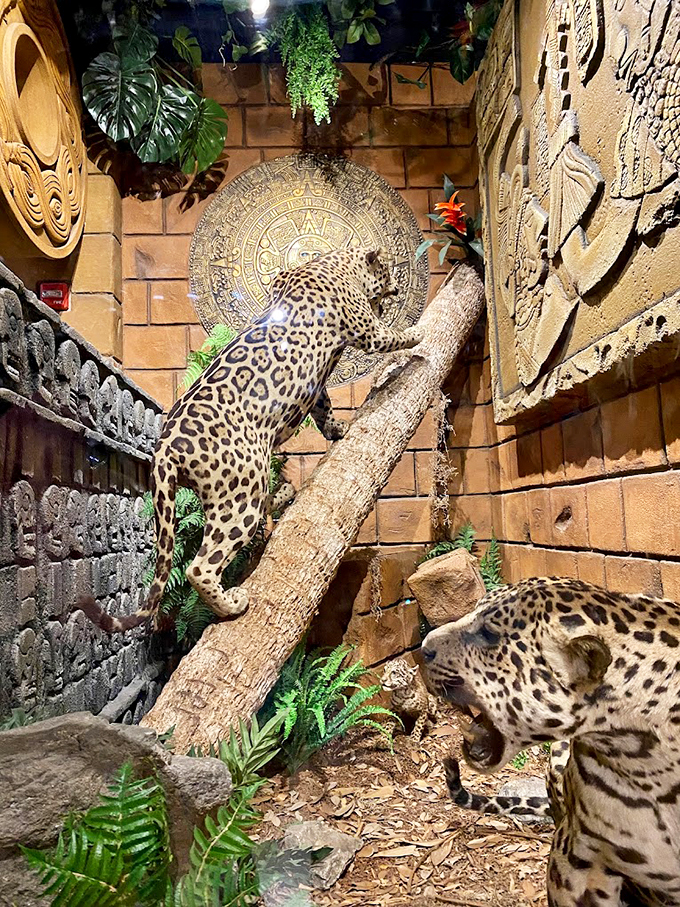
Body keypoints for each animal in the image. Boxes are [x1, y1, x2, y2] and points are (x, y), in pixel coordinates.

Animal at [79, 248, 423, 633]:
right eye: (388, 268)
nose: (396, 286)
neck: (333, 263)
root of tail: (165, 447)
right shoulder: (366, 330)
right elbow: (390, 336)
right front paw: (417, 332)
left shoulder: (316, 385)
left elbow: (323, 407)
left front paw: (337, 429)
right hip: (242, 491)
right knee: (201, 565)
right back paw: (232, 605)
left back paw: (285, 493)